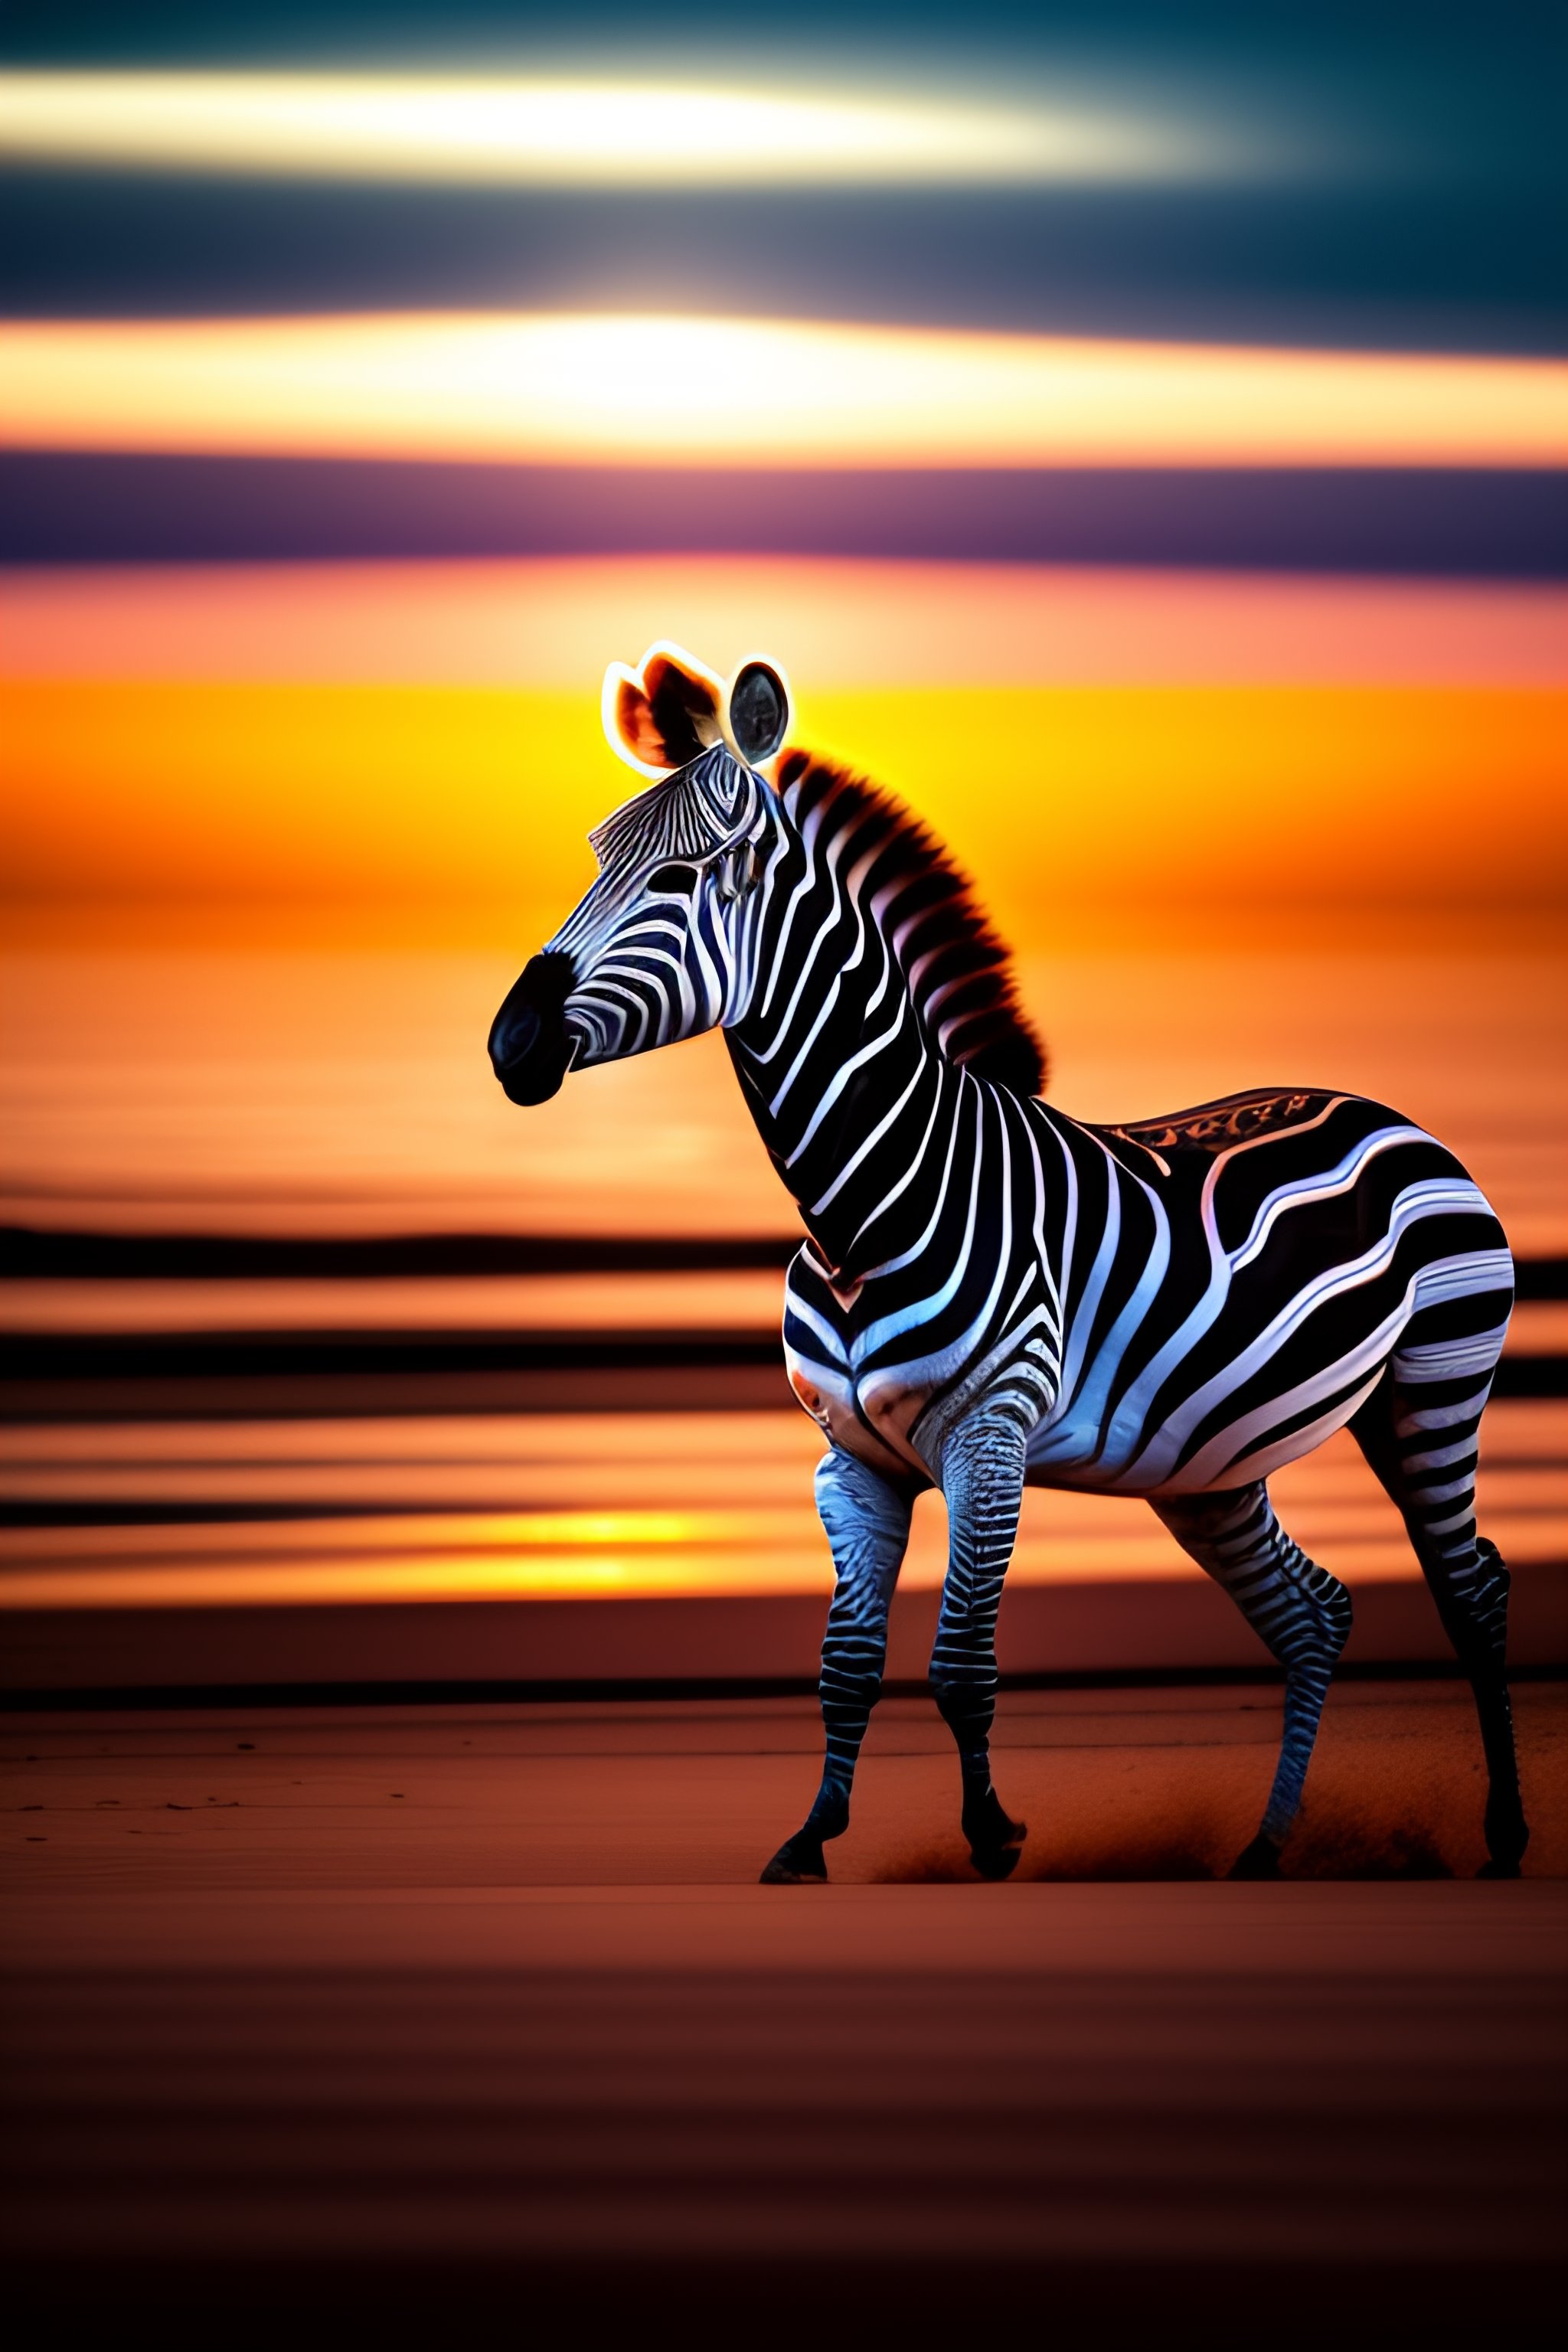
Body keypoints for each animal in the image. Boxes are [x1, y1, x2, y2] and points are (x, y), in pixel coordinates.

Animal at [489, 641, 1528, 1884]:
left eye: (687, 876)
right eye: (599, 857)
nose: (510, 1045)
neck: (866, 1209)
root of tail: (1382, 1110)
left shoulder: (991, 1437)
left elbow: (959, 1665)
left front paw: (991, 1835)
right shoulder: (850, 1462)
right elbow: (845, 1667)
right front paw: (808, 1842)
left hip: (1434, 1385)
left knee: (1471, 1591)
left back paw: (1503, 1836)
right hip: (1210, 1464)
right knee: (1313, 1612)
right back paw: (1265, 1848)